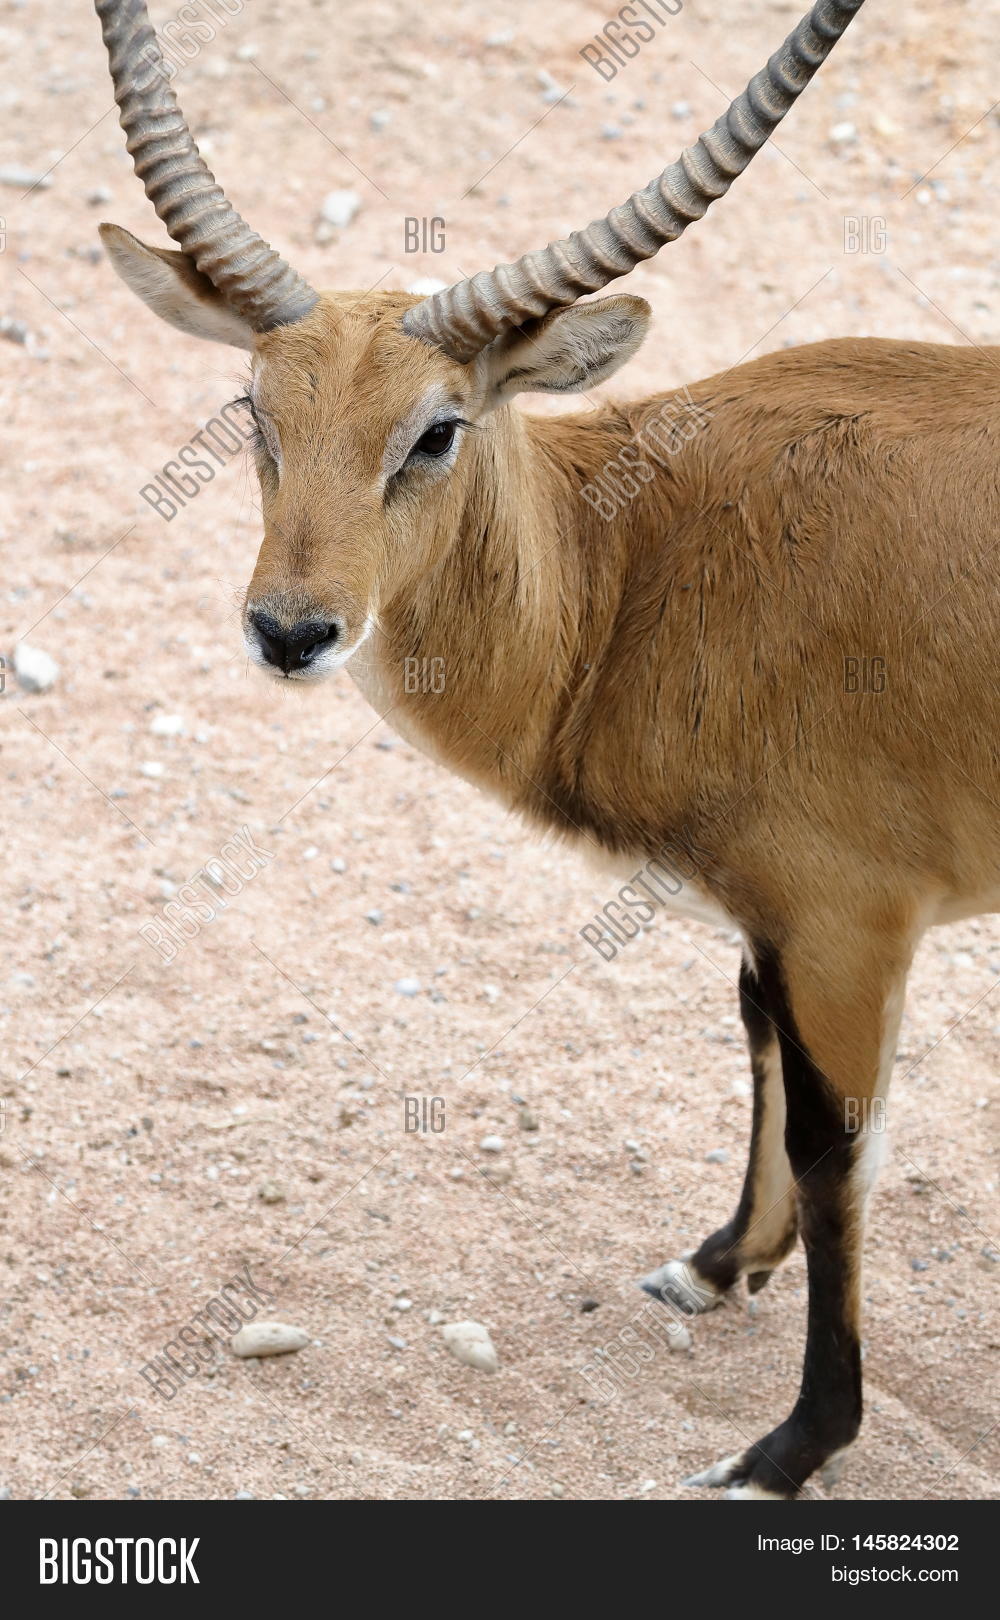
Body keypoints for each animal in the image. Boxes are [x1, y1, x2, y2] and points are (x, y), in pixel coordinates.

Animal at [93, 0, 988, 1498]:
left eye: (436, 429)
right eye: (258, 414)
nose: (291, 630)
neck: (640, 566)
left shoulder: (849, 925)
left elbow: (838, 1154)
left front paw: (792, 1446)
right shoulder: (771, 925)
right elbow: (754, 1042)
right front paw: (715, 1265)